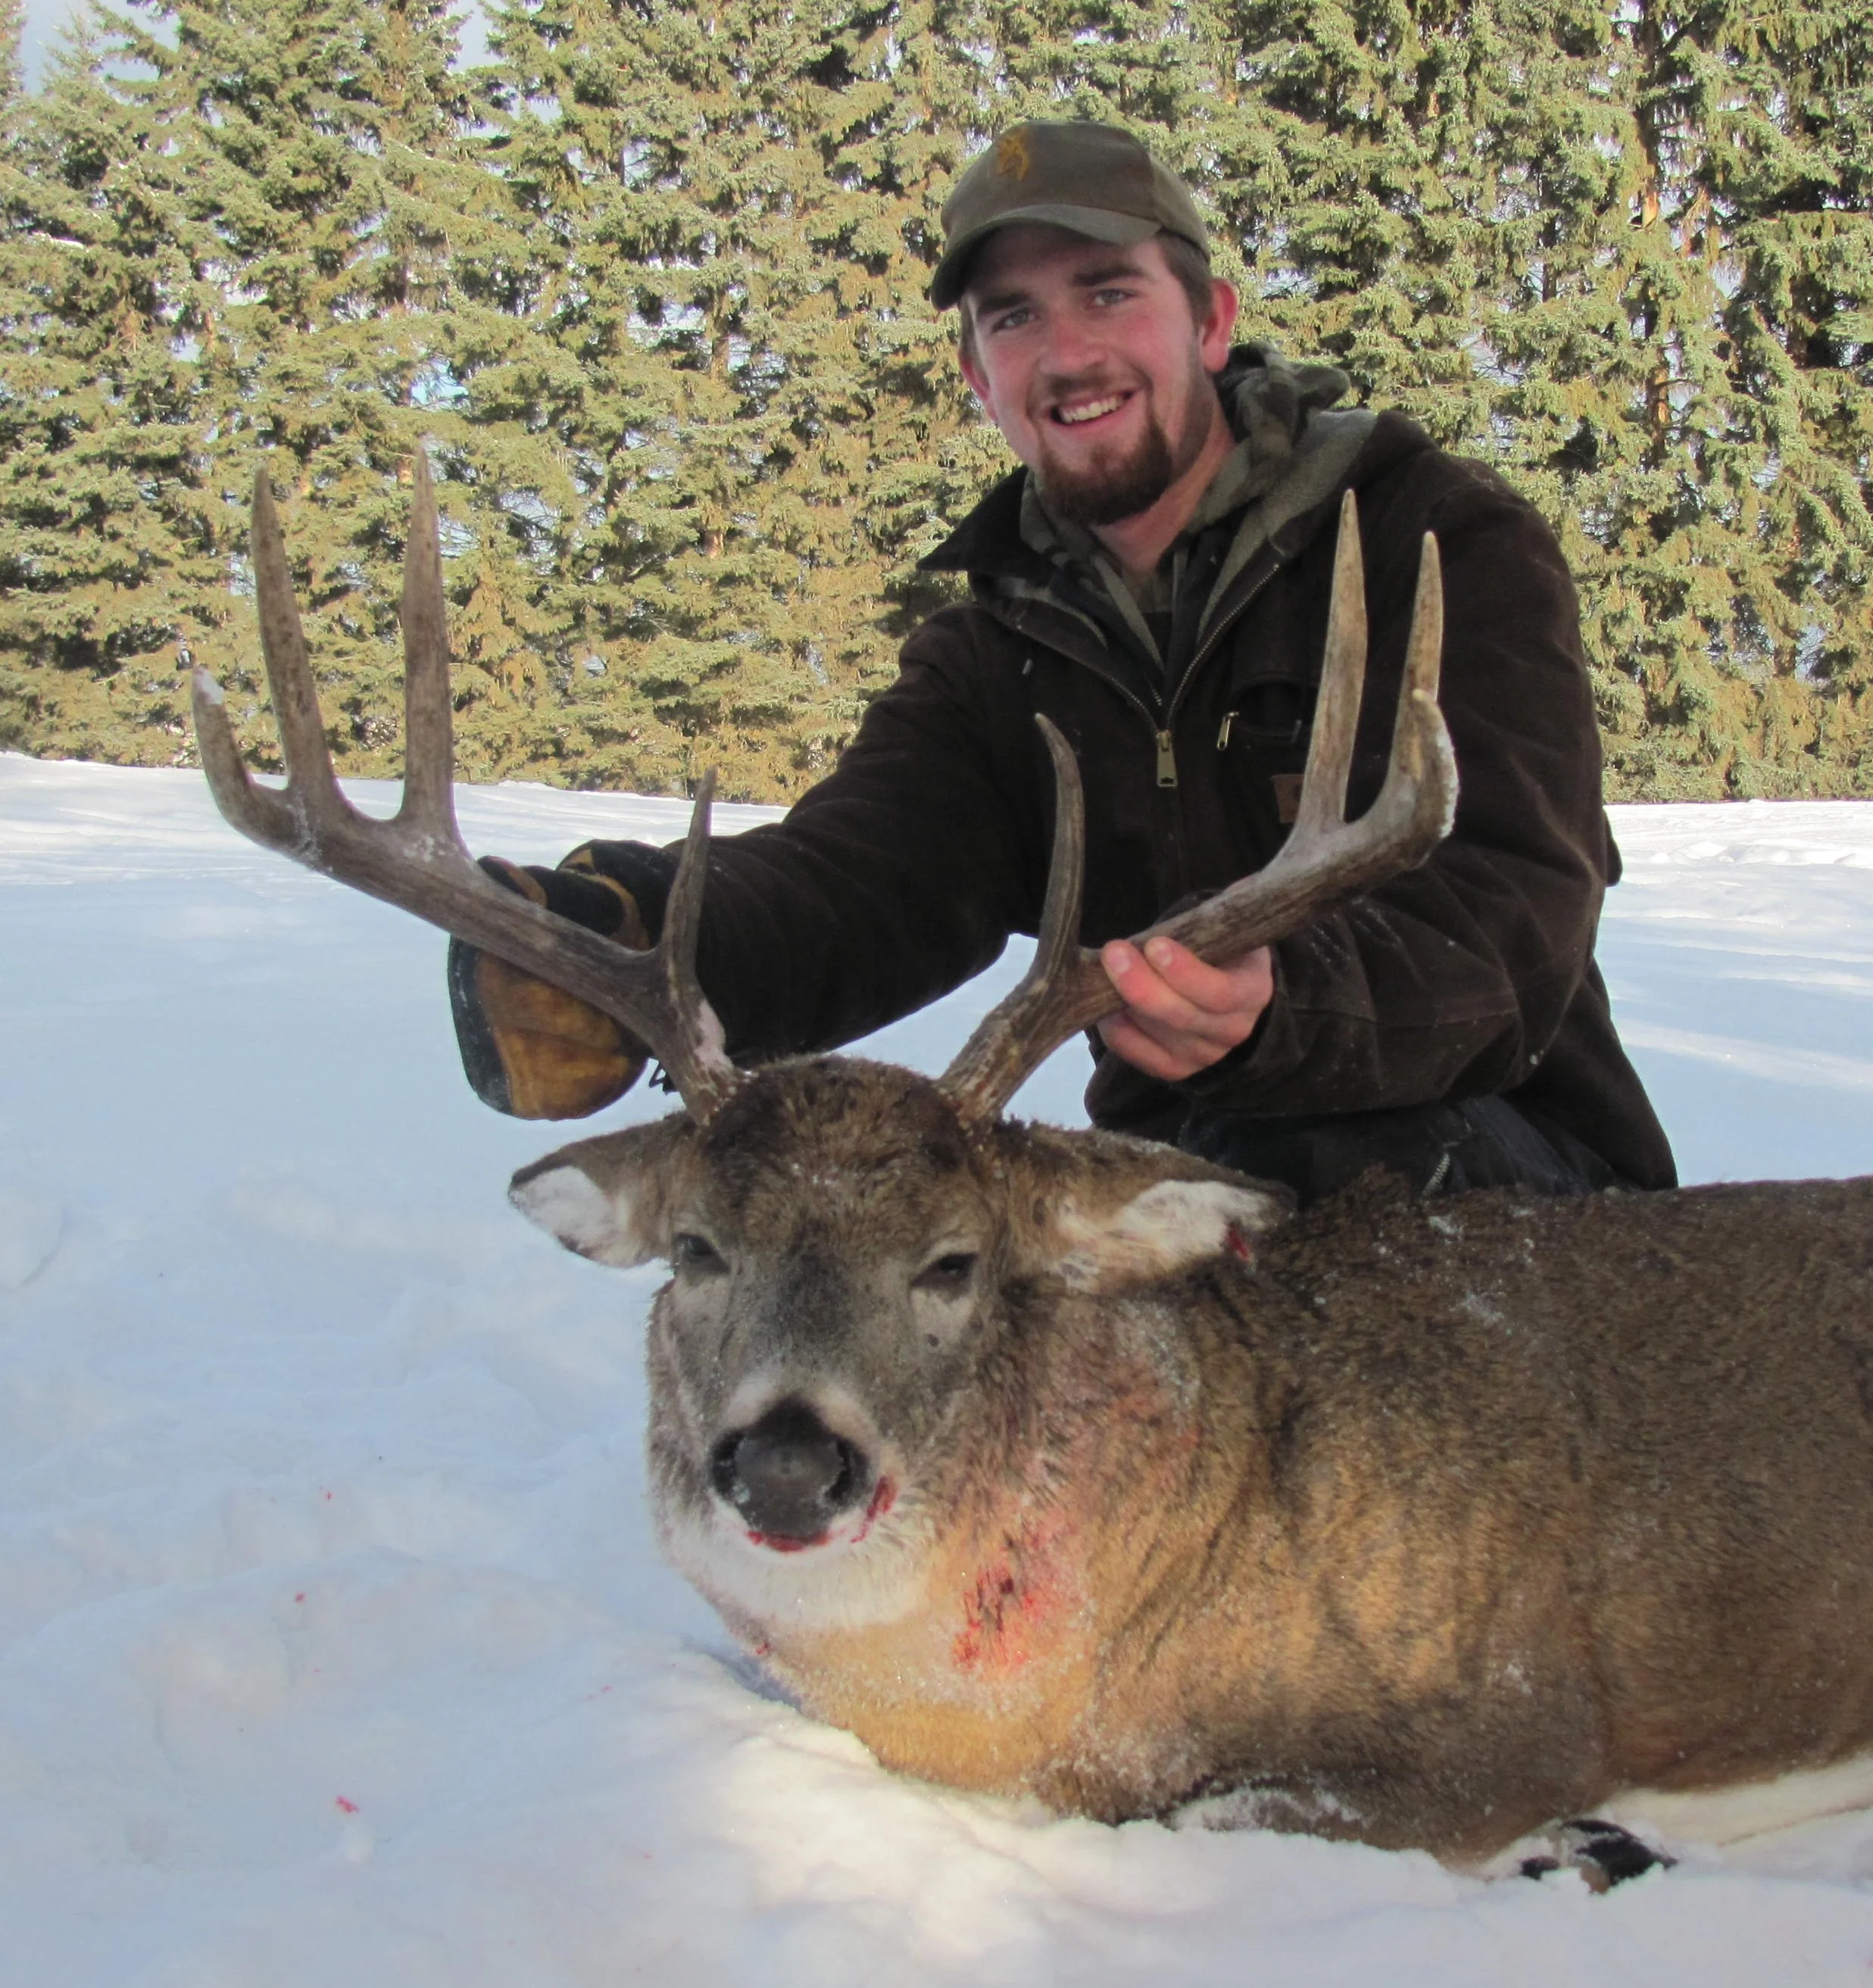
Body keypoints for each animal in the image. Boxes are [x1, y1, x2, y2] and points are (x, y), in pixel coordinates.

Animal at [192, 455, 1873, 1881]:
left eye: (955, 1261)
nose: (786, 1462)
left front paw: (1595, 1844)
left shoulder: (1499, 1722)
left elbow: (1241, 1805)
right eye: (696, 1251)